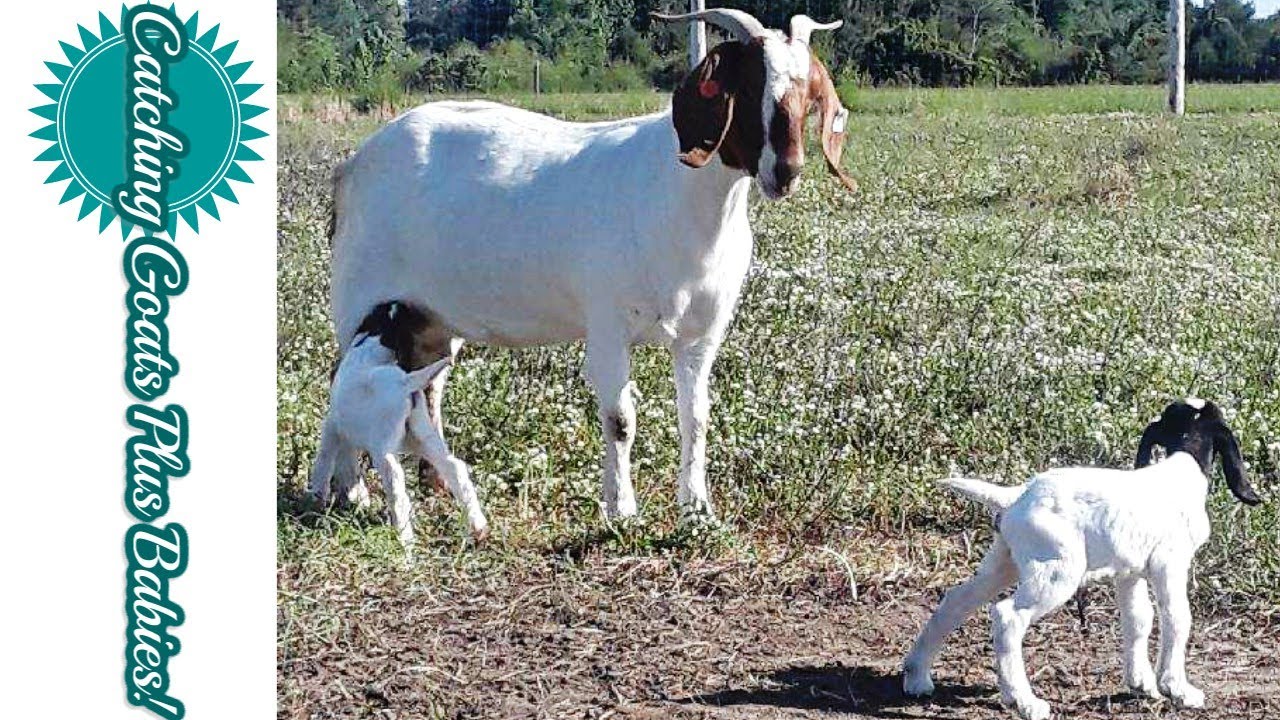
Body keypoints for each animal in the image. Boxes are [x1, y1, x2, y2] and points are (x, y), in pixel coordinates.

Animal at [308, 302, 488, 549]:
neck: (374, 343)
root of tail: (406, 383)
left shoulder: (332, 425)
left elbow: (325, 461)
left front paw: (316, 499)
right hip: (424, 435)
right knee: (454, 466)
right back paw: (478, 526)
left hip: (383, 449)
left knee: (396, 484)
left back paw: (404, 540)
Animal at [326, 9, 854, 522]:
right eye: (745, 87)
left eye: (809, 95)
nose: (786, 171)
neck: (678, 199)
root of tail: (354, 165)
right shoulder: (608, 325)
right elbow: (620, 420)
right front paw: (621, 510)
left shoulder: (701, 334)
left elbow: (696, 417)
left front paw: (697, 509)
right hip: (358, 302)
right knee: (345, 379)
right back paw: (352, 491)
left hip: (431, 321)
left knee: (428, 387)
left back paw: (434, 483)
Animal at [902, 399, 1262, 720]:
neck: (1179, 469)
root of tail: (1016, 496)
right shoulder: (1169, 565)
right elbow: (1177, 618)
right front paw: (1178, 689)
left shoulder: (1130, 572)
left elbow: (1139, 618)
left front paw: (1141, 683)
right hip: (1056, 573)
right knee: (1007, 616)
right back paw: (1025, 702)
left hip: (1003, 563)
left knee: (956, 600)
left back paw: (917, 677)